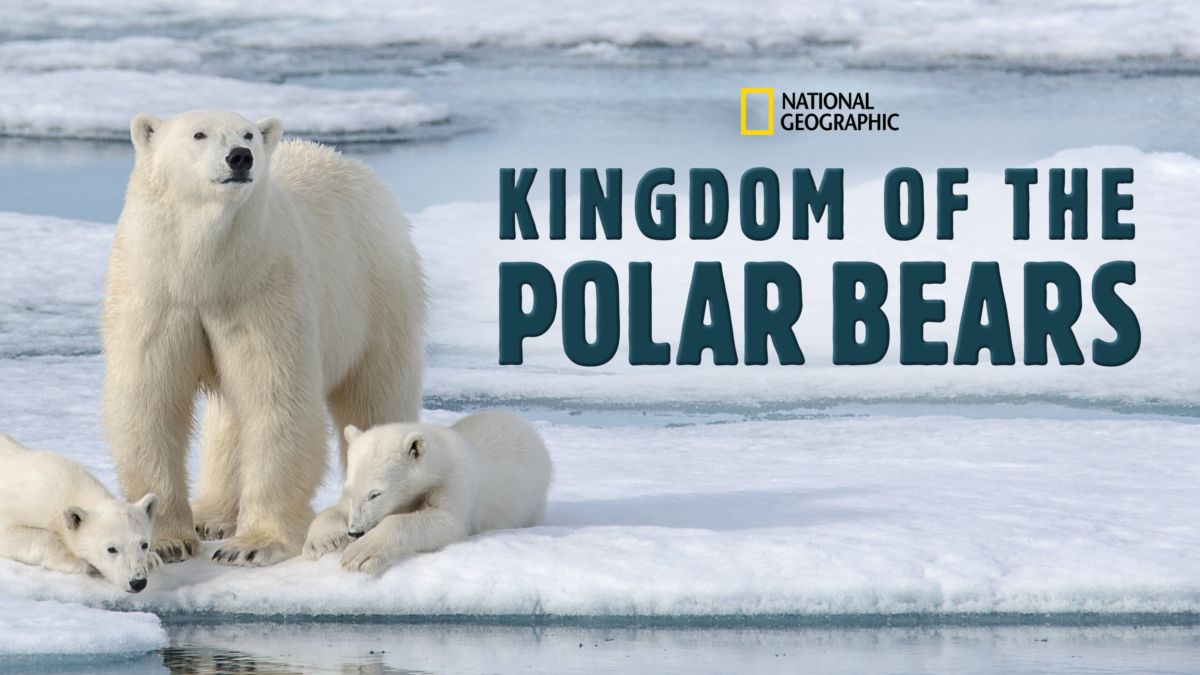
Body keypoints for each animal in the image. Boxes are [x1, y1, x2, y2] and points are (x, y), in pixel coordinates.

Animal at [102, 110, 426, 567]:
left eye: (248, 133)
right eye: (198, 134)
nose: (240, 157)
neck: (207, 272)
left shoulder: (263, 290)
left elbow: (275, 399)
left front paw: (252, 544)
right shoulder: (158, 294)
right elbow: (151, 398)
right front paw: (167, 541)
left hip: (378, 295)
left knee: (374, 394)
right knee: (228, 420)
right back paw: (213, 515)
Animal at [303, 411, 552, 575]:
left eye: (376, 494)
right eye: (349, 489)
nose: (355, 531)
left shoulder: (454, 480)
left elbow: (444, 521)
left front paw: (359, 554)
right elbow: (334, 510)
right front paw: (324, 541)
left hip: (533, 498)